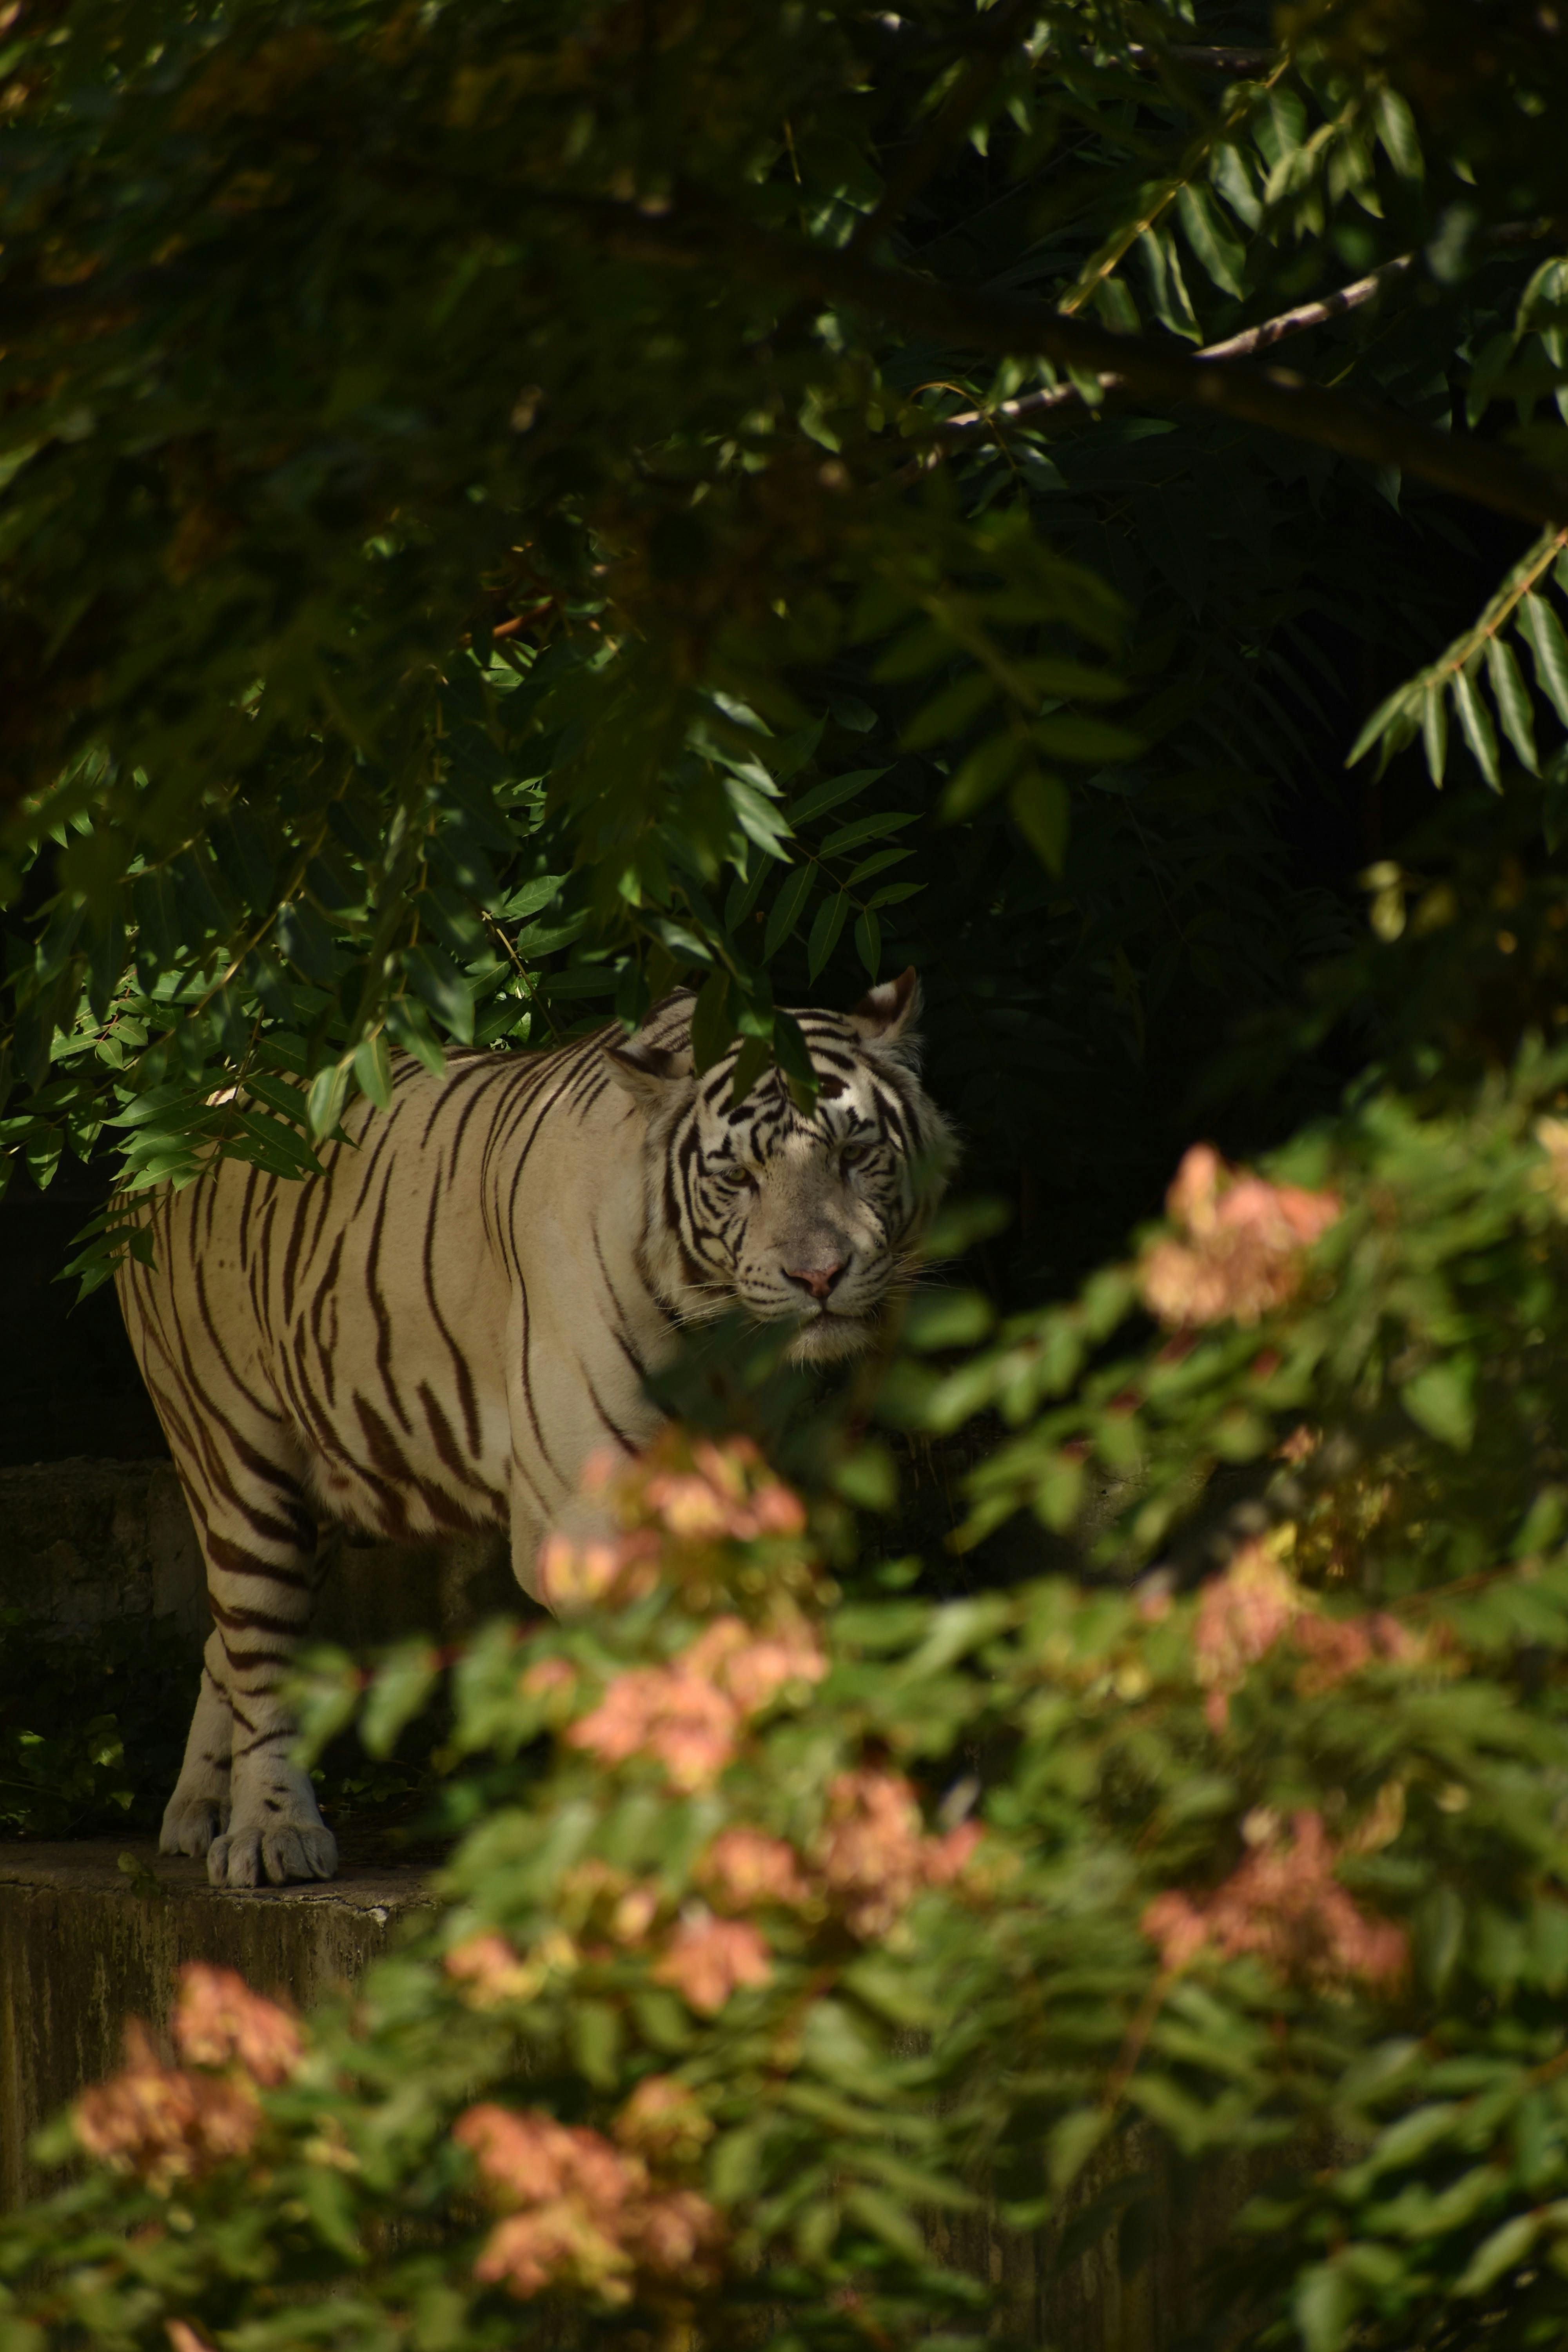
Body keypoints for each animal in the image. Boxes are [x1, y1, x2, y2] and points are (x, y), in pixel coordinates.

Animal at [116, 966, 952, 1888]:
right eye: (740, 1177)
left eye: (854, 1154)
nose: (819, 1276)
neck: (730, 1337)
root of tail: (186, 1113)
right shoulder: (593, 1524)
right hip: (236, 1455)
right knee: (259, 1645)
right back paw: (268, 1832)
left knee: (223, 1643)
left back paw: (199, 1812)